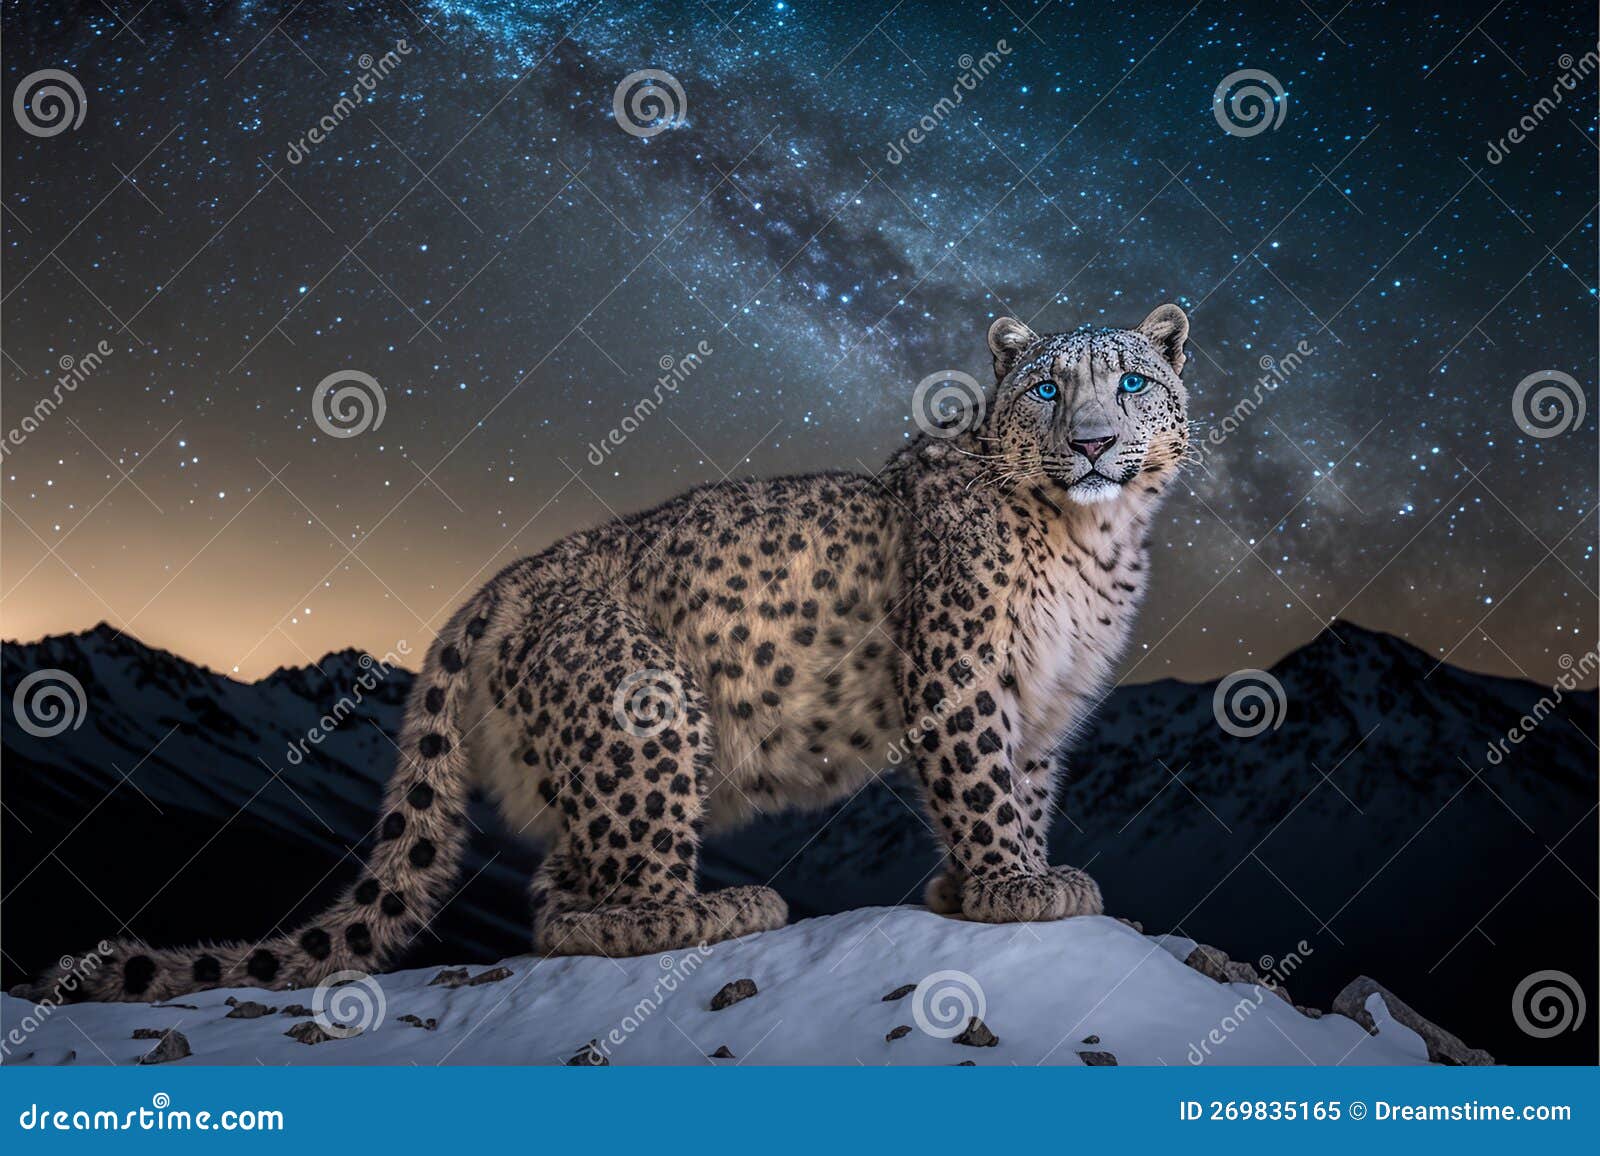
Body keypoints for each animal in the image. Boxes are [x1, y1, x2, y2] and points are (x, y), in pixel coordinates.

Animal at [31, 303, 1193, 1003]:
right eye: (1047, 388)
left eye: (1131, 384)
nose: (1093, 441)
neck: (1096, 539)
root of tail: (503, 583)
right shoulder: (963, 675)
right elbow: (979, 784)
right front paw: (1009, 884)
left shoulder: (1048, 700)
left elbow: (1023, 788)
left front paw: (1006, 878)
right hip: (650, 708)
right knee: (592, 898)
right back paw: (720, 907)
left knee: (556, 888)